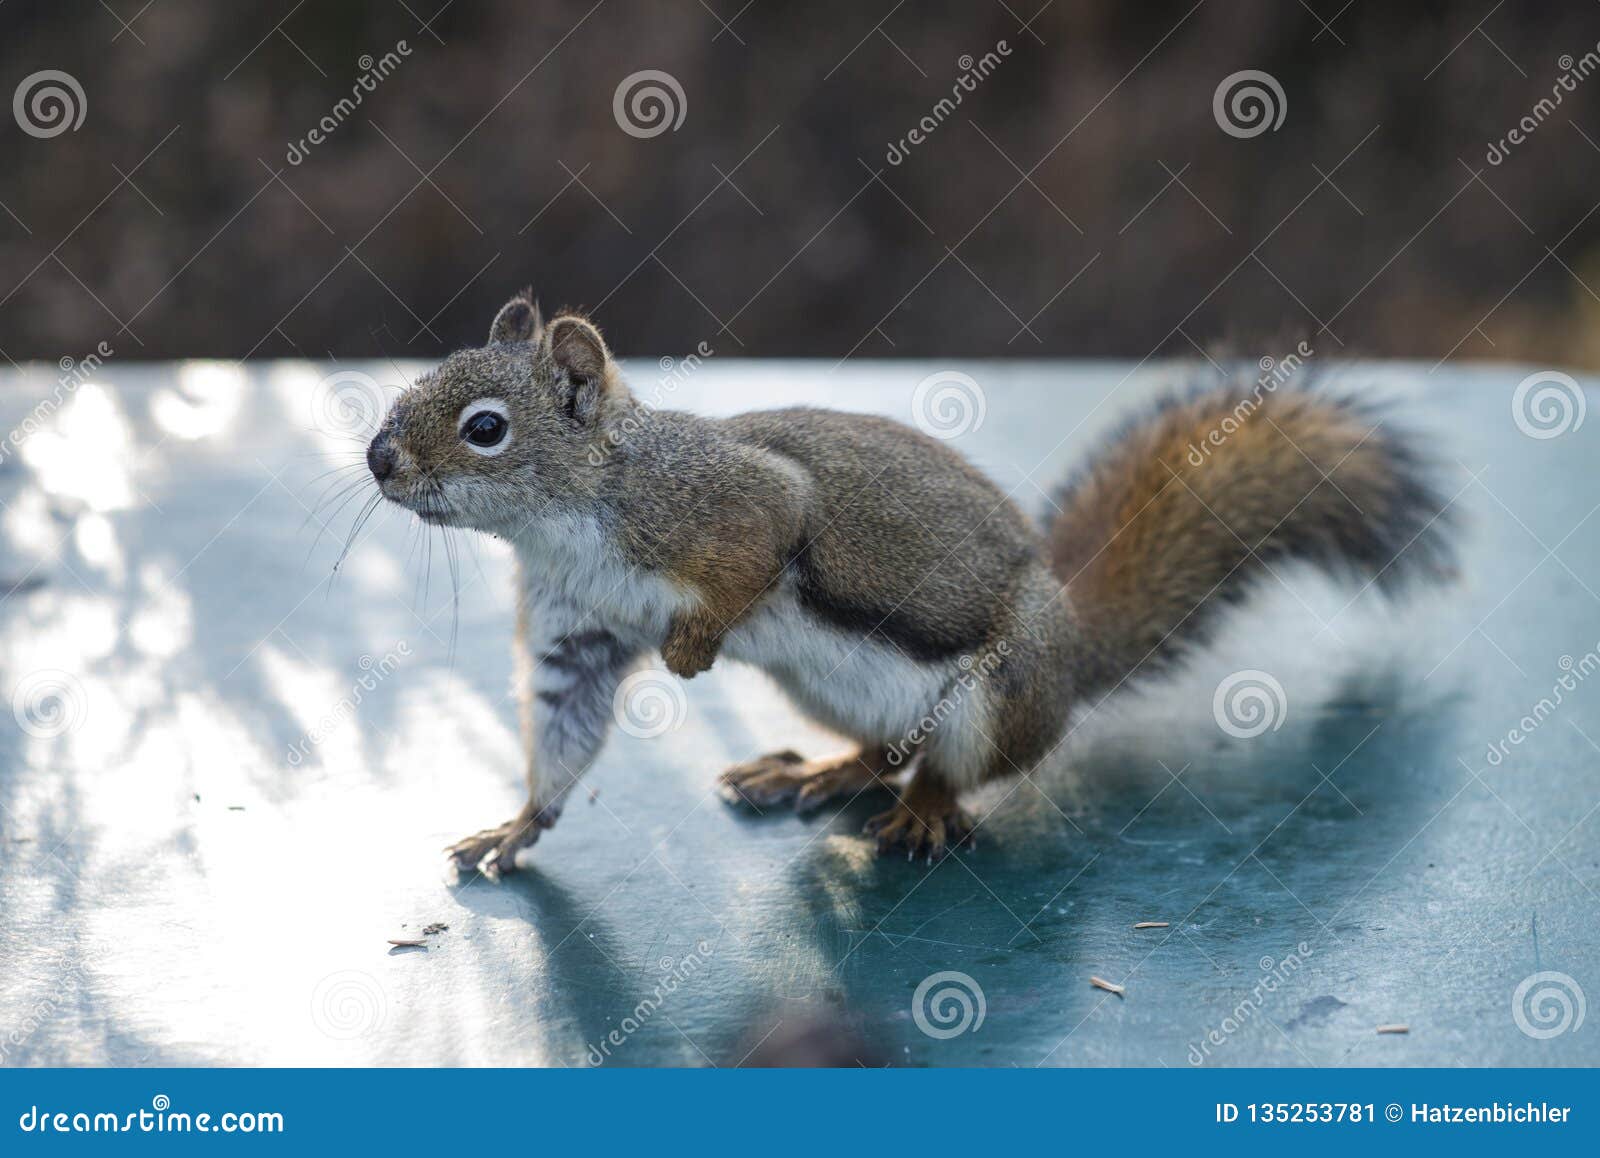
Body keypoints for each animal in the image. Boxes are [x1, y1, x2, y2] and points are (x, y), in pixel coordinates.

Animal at [365, 291, 1455, 875]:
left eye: (486, 428)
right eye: (412, 386)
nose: (377, 461)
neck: (568, 521)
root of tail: (1072, 660)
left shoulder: (724, 503)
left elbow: (762, 545)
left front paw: (693, 647)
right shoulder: (576, 630)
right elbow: (564, 721)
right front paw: (520, 824)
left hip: (998, 691)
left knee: (947, 769)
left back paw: (925, 810)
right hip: (835, 692)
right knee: (883, 752)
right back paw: (817, 771)